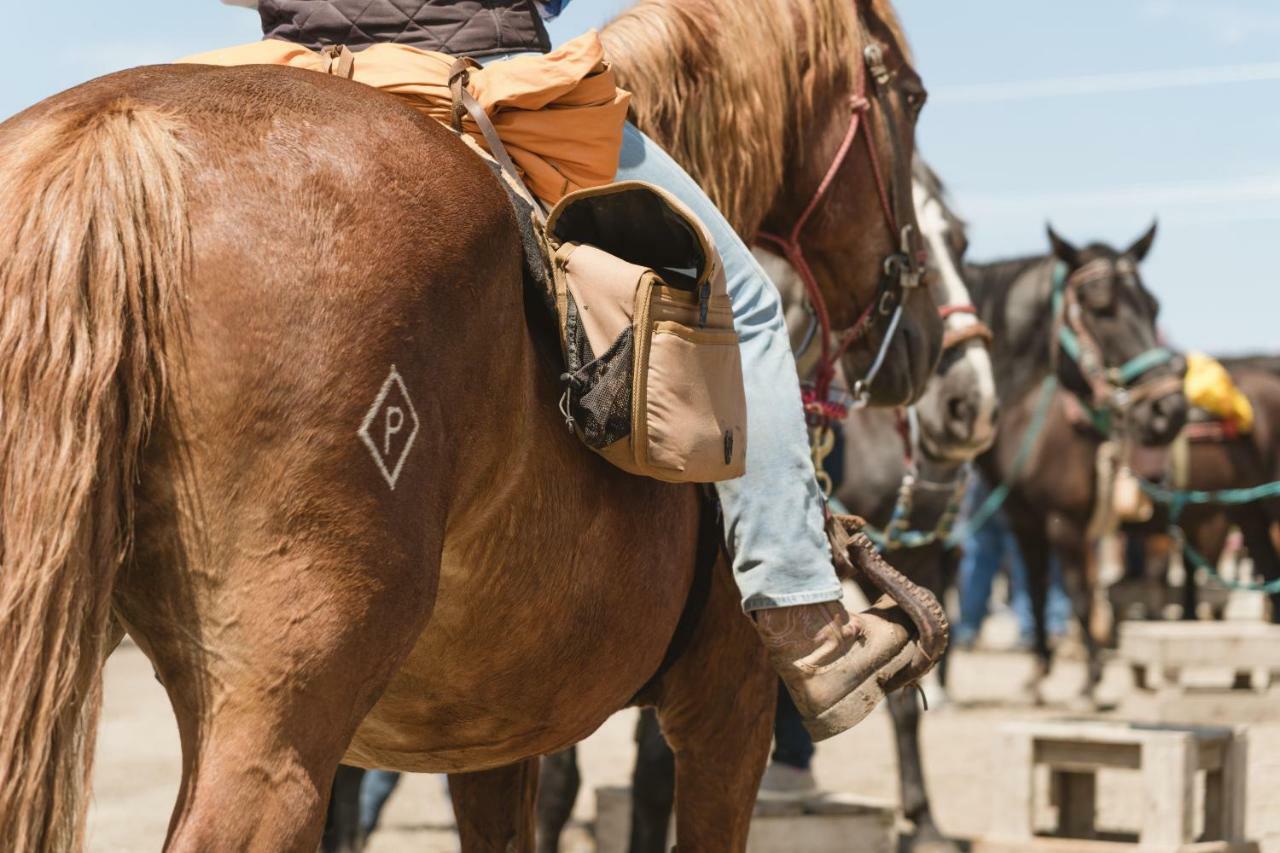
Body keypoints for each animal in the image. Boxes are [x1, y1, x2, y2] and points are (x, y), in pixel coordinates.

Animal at [0, 0, 942, 845]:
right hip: (282, 712)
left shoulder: (492, 731)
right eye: (914, 96)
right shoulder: (727, 708)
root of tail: (116, 134)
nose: (922, 344)